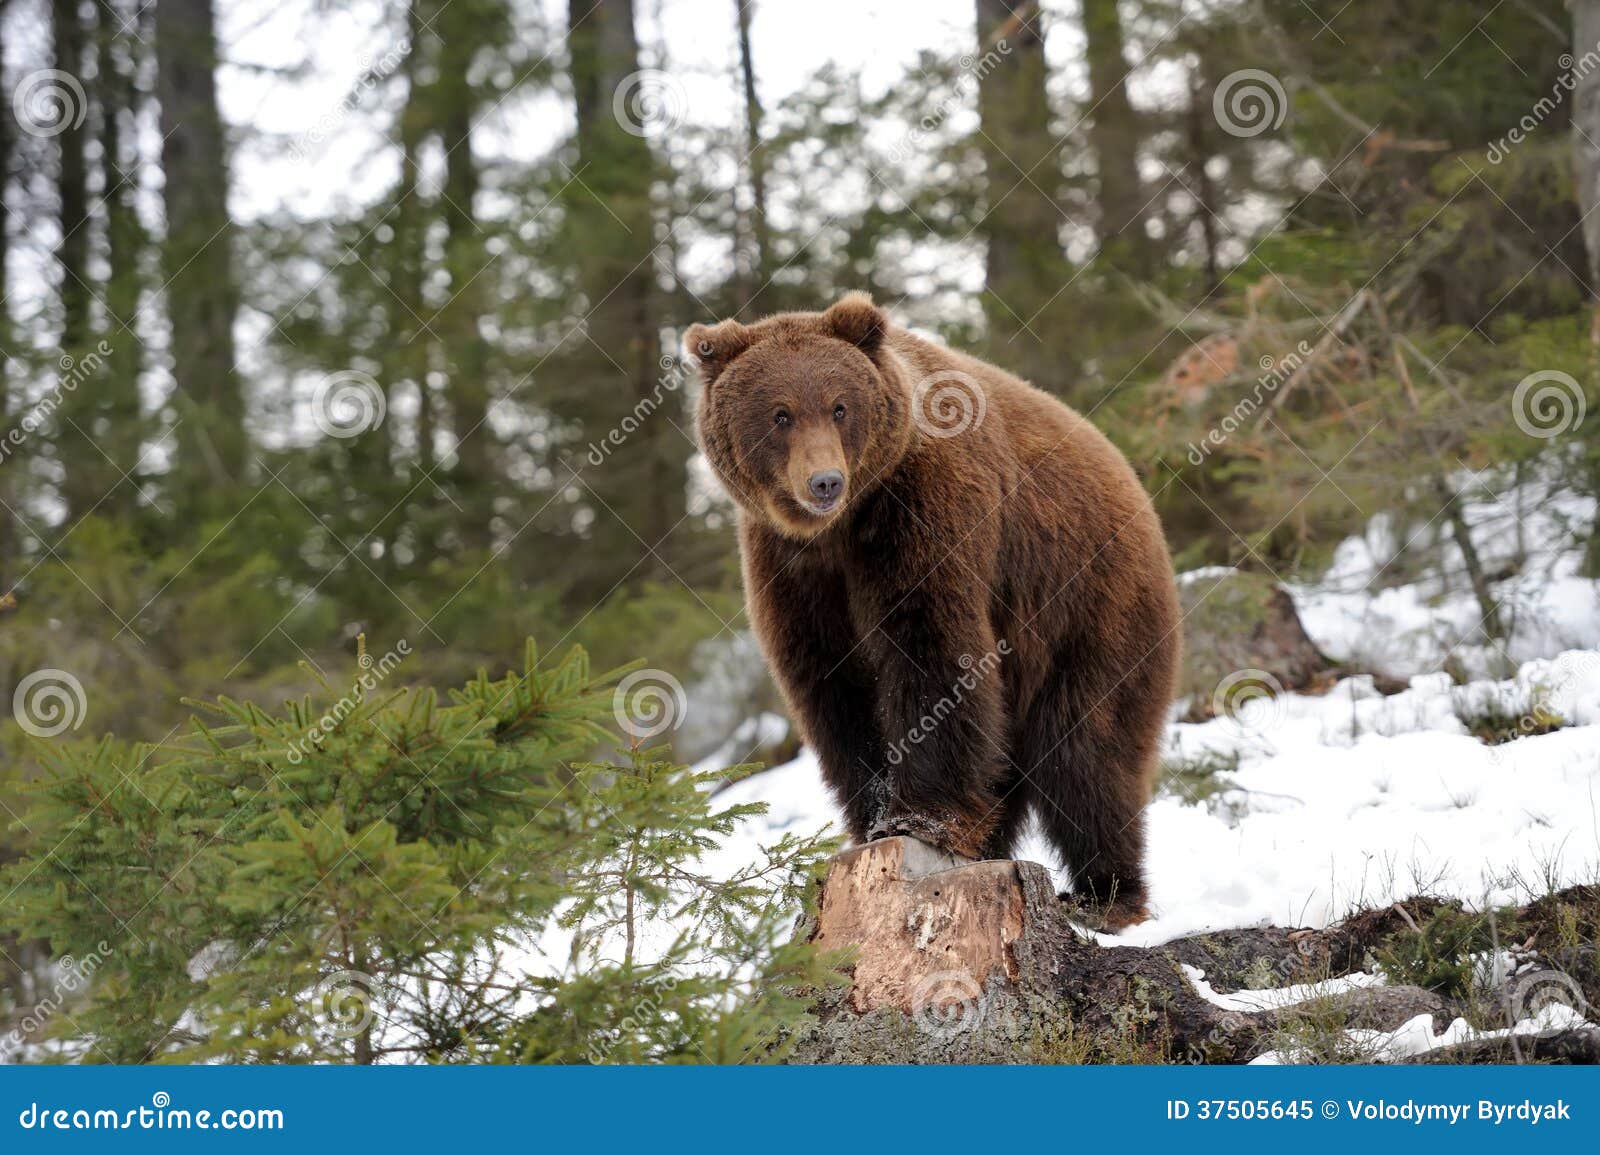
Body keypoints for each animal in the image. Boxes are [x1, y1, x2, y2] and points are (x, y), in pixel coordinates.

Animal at [687, 292, 1180, 930]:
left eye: (839, 406)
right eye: (780, 414)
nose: (825, 481)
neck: (843, 528)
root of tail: (1139, 493)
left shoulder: (928, 510)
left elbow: (929, 650)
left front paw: (921, 817)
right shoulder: (789, 566)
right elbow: (833, 683)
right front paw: (873, 820)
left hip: (1093, 605)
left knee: (1087, 752)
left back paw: (1106, 894)